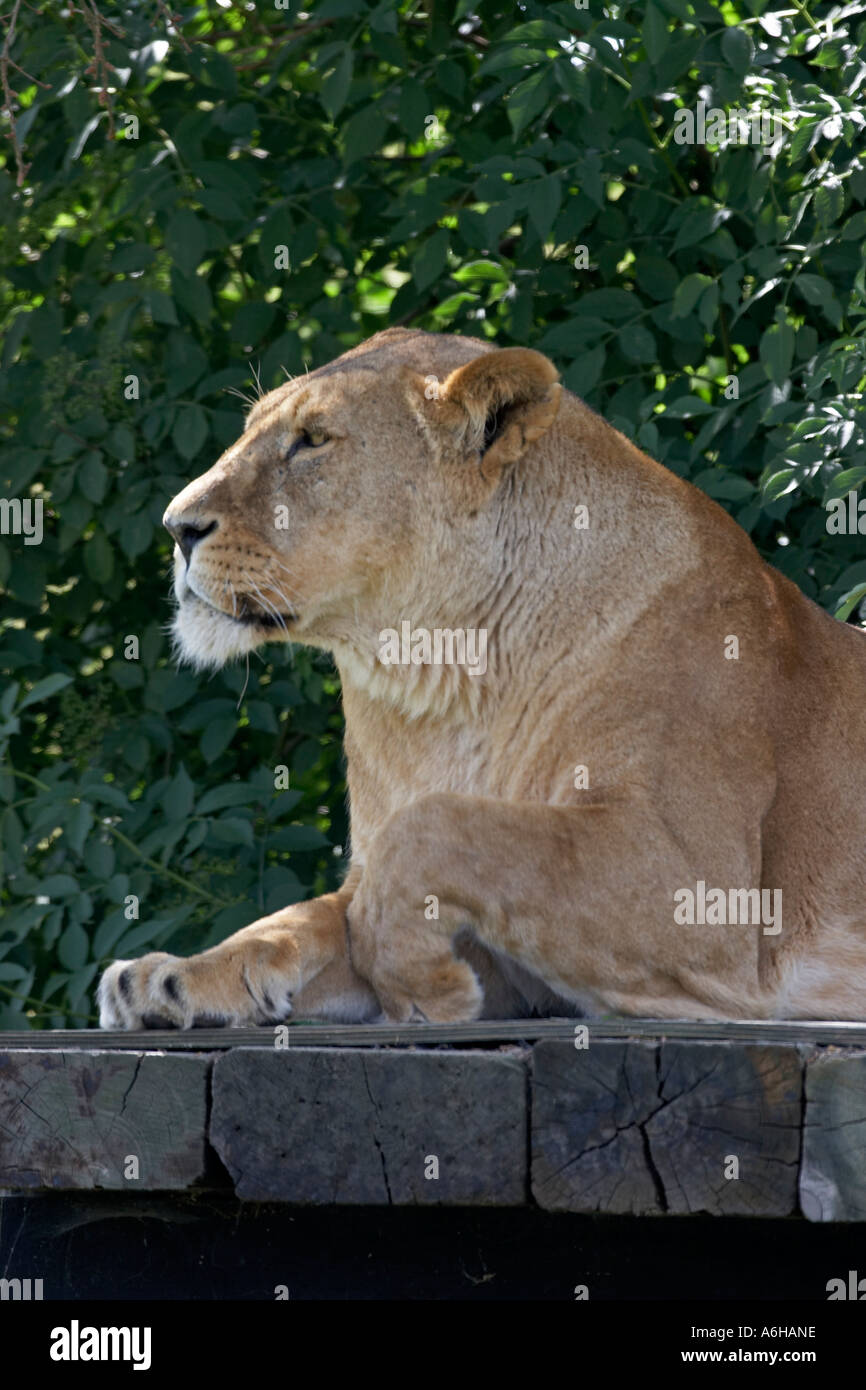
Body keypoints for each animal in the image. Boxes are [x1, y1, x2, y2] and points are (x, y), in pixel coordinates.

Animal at [98, 326, 866, 1030]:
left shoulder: (711, 896)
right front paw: (168, 978)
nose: (176, 527)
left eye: (312, 440)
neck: (440, 685)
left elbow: (432, 832)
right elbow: (309, 915)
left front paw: (425, 988)